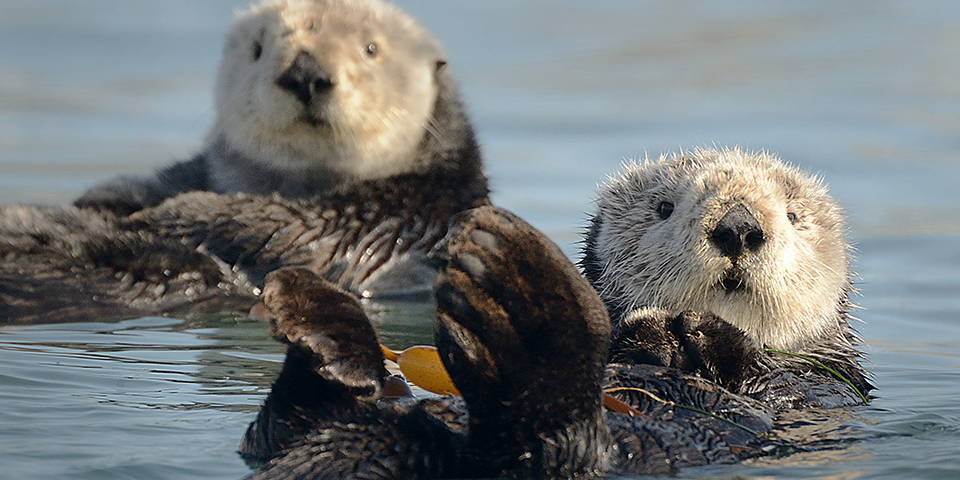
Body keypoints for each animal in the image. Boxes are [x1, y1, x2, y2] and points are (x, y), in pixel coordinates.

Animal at [581, 147, 872, 409]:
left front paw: (706, 330)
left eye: (792, 216)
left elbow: (793, 391)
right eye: (664, 208)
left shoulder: (835, 386)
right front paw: (652, 329)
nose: (737, 228)